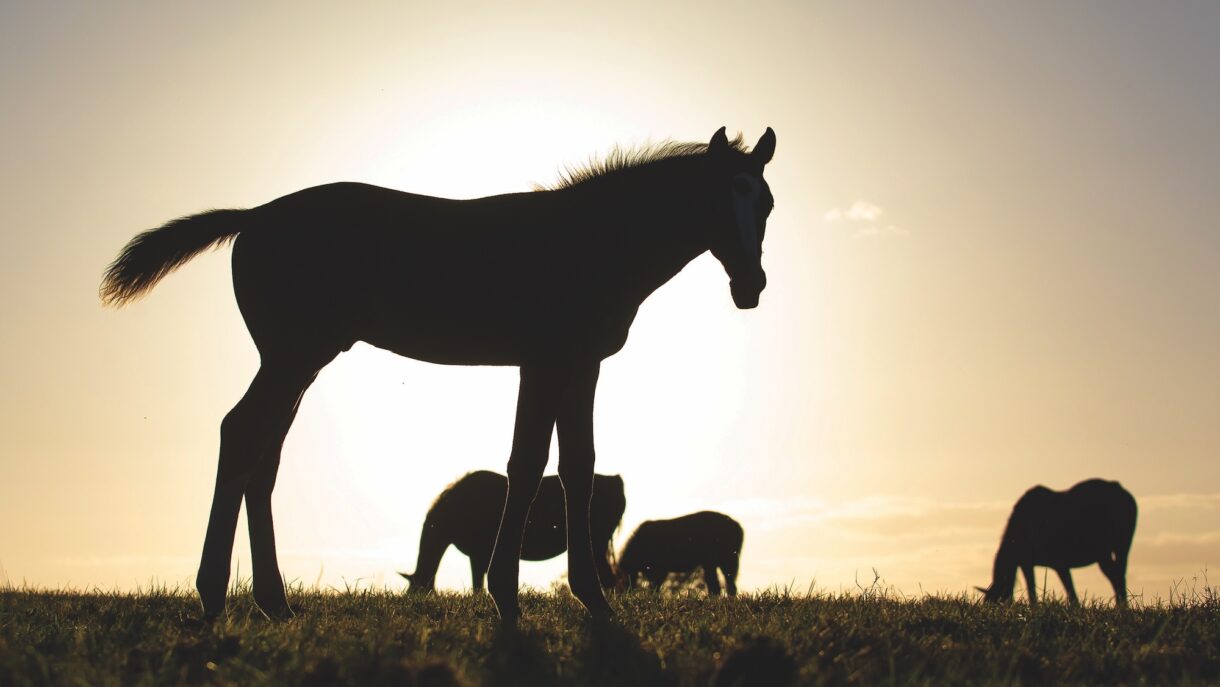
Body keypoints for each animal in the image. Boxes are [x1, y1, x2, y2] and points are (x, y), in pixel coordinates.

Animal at [398, 470, 626, 592]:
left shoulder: (478, 554)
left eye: (415, 587)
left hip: (598, 543)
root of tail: (615, 480)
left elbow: (477, 585)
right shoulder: (480, 556)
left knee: (609, 578)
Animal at [976, 478, 1137, 607]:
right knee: (1118, 575)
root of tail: (1119, 489)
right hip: (1116, 550)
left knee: (1116, 576)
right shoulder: (1030, 563)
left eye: (995, 601)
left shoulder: (1056, 563)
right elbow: (1037, 587)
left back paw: (1122, 606)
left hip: (1108, 552)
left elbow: (1063, 589)